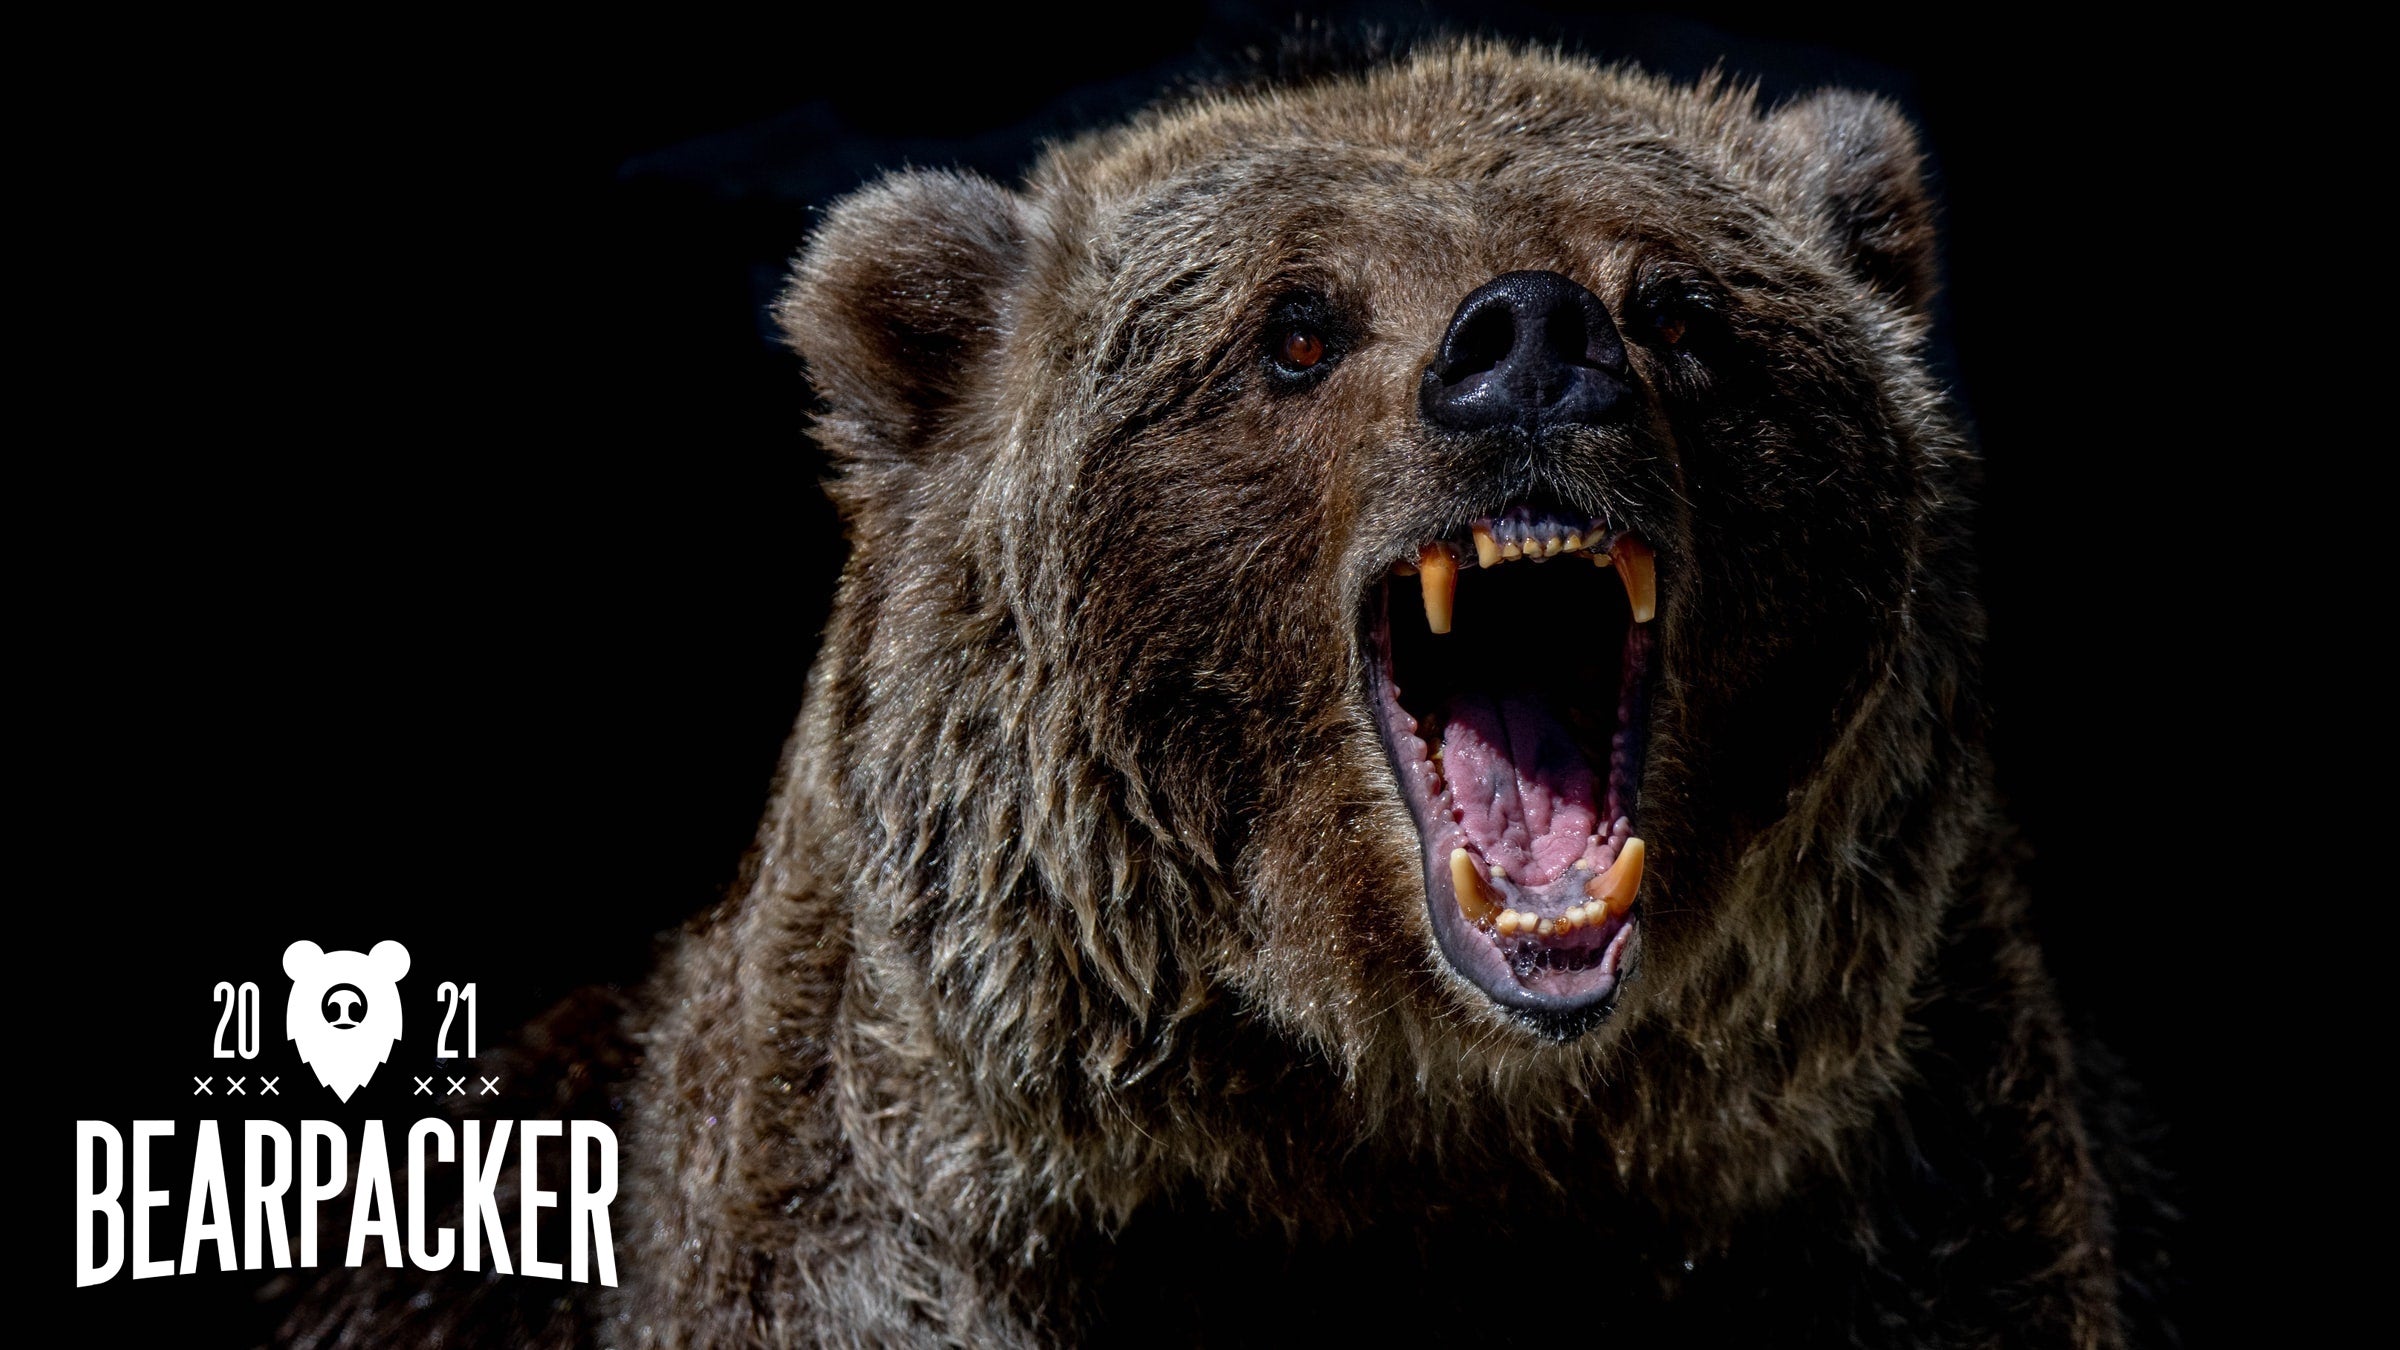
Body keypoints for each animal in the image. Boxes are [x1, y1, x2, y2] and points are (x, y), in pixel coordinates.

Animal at [281, 40, 2170, 1349]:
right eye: (1297, 328)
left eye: (1684, 307)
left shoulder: (1886, 1197)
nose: (1530, 342)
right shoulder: (926, 1236)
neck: (1417, 1125)